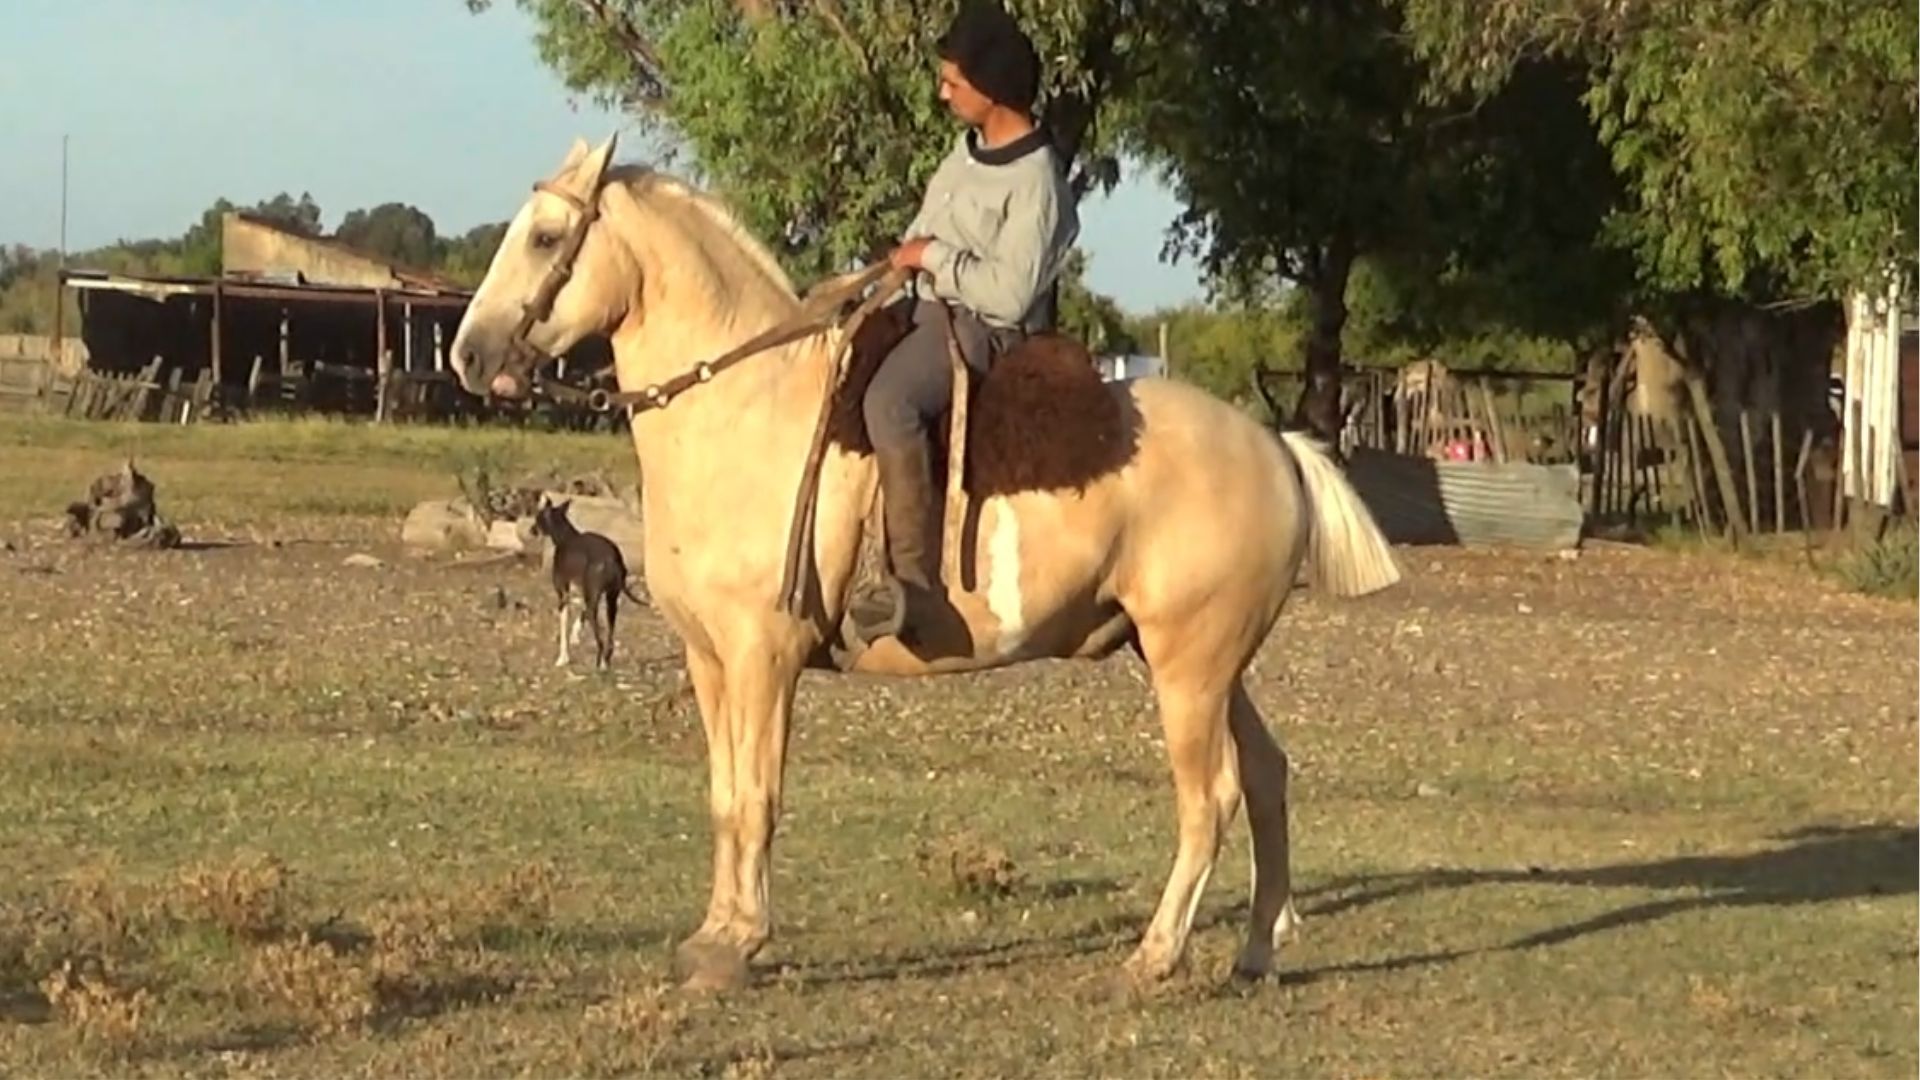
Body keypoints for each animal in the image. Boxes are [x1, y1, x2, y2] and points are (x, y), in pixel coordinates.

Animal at [449, 133, 1403, 992]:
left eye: (546, 237)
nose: (468, 355)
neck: (746, 415)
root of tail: (1276, 448)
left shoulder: (764, 658)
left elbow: (758, 795)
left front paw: (740, 946)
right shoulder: (711, 657)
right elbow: (725, 796)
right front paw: (714, 936)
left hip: (1189, 670)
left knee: (1210, 799)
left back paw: (1153, 960)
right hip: (1206, 667)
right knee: (1268, 777)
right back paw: (1255, 954)